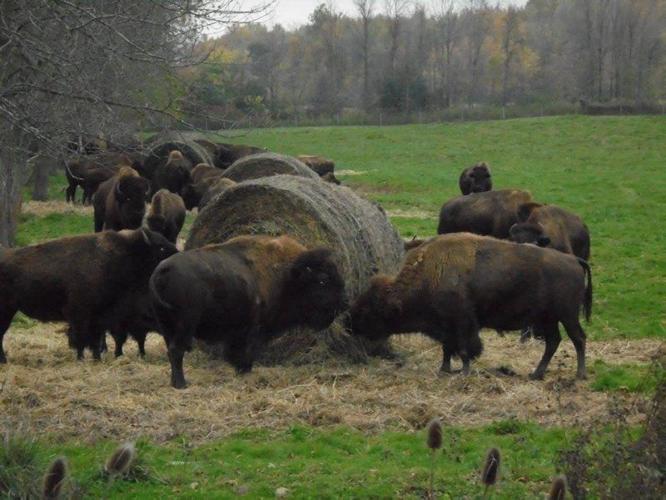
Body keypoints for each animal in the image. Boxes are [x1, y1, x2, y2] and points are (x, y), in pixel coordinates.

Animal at [0, 228, 177, 362]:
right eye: (161, 247)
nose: (176, 257)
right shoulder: (80, 314)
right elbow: (81, 337)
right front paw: (81, 358)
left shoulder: (101, 316)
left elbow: (95, 339)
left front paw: (97, 358)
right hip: (7, 310)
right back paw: (4, 360)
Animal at [149, 235, 347, 388]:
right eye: (323, 280)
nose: (344, 303)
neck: (287, 275)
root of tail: (163, 270)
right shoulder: (253, 329)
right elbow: (247, 352)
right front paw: (245, 371)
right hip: (185, 324)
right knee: (176, 351)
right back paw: (181, 384)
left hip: (167, 326)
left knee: (172, 351)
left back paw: (175, 382)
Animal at [346, 233, 592, 380]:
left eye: (371, 309)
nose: (350, 323)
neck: (431, 274)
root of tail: (574, 260)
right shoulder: (446, 327)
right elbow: (447, 348)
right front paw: (444, 369)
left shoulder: (462, 323)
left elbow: (465, 349)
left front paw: (463, 372)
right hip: (548, 319)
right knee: (553, 342)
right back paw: (536, 374)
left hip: (567, 316)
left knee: (578, 339)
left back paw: (579, 374)